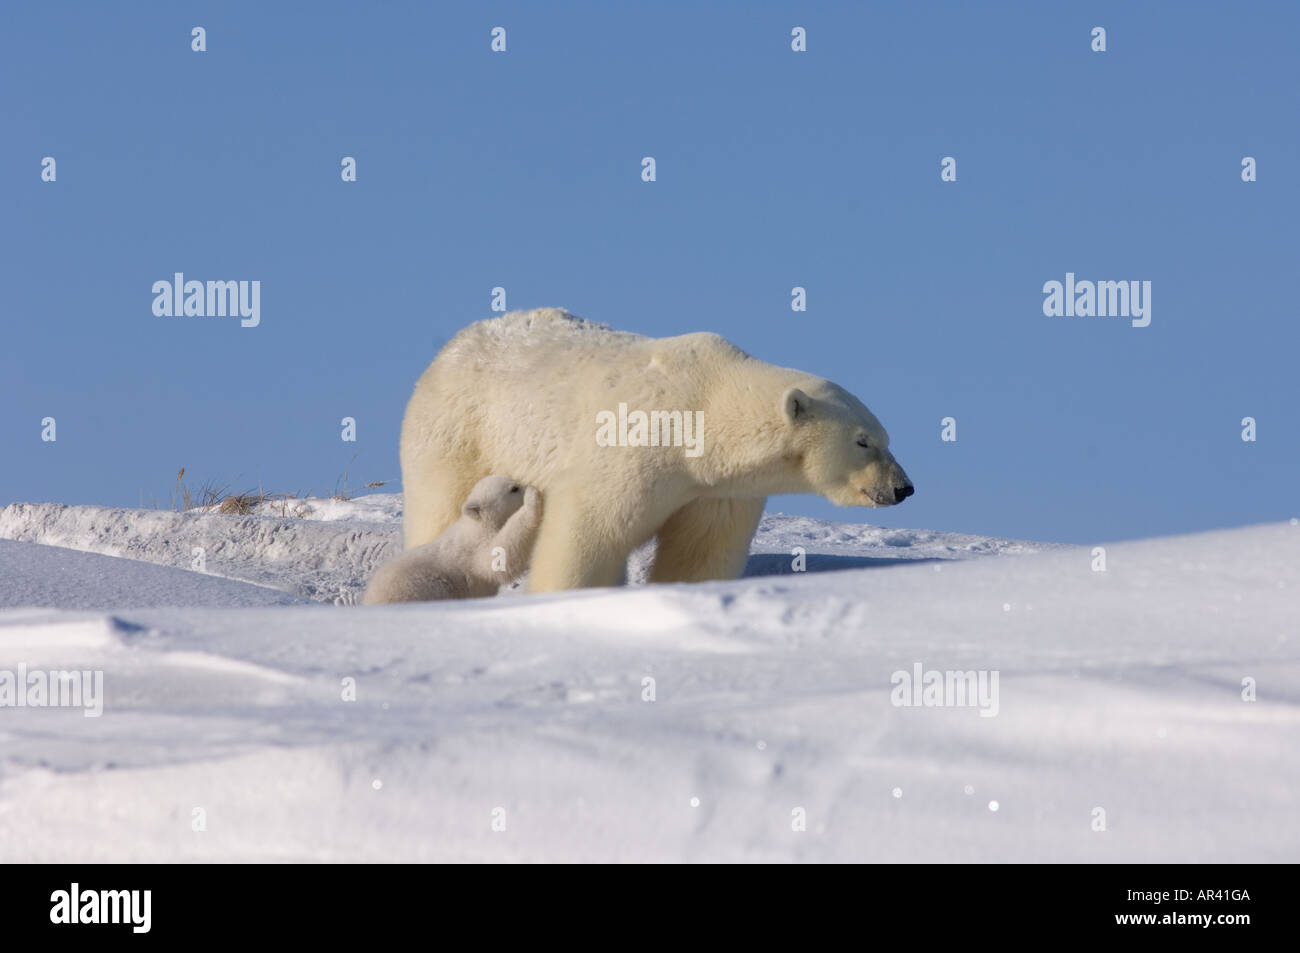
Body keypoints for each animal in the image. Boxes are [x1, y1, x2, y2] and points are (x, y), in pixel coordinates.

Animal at [362, 475, 542, 604]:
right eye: (514, 488)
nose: (527, 484)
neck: (478, 523)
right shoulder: (473, 547)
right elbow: (497, 558)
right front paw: (532, 498)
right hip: (416, 588)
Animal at [400, 308, 913, 593]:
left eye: (887, 439)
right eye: (863, 441)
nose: (902, 488)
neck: (702, 409)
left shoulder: (716, 489)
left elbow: (700, 550)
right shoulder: (632, 448)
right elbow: (586, 533)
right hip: (458, 432)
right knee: (443, 507)